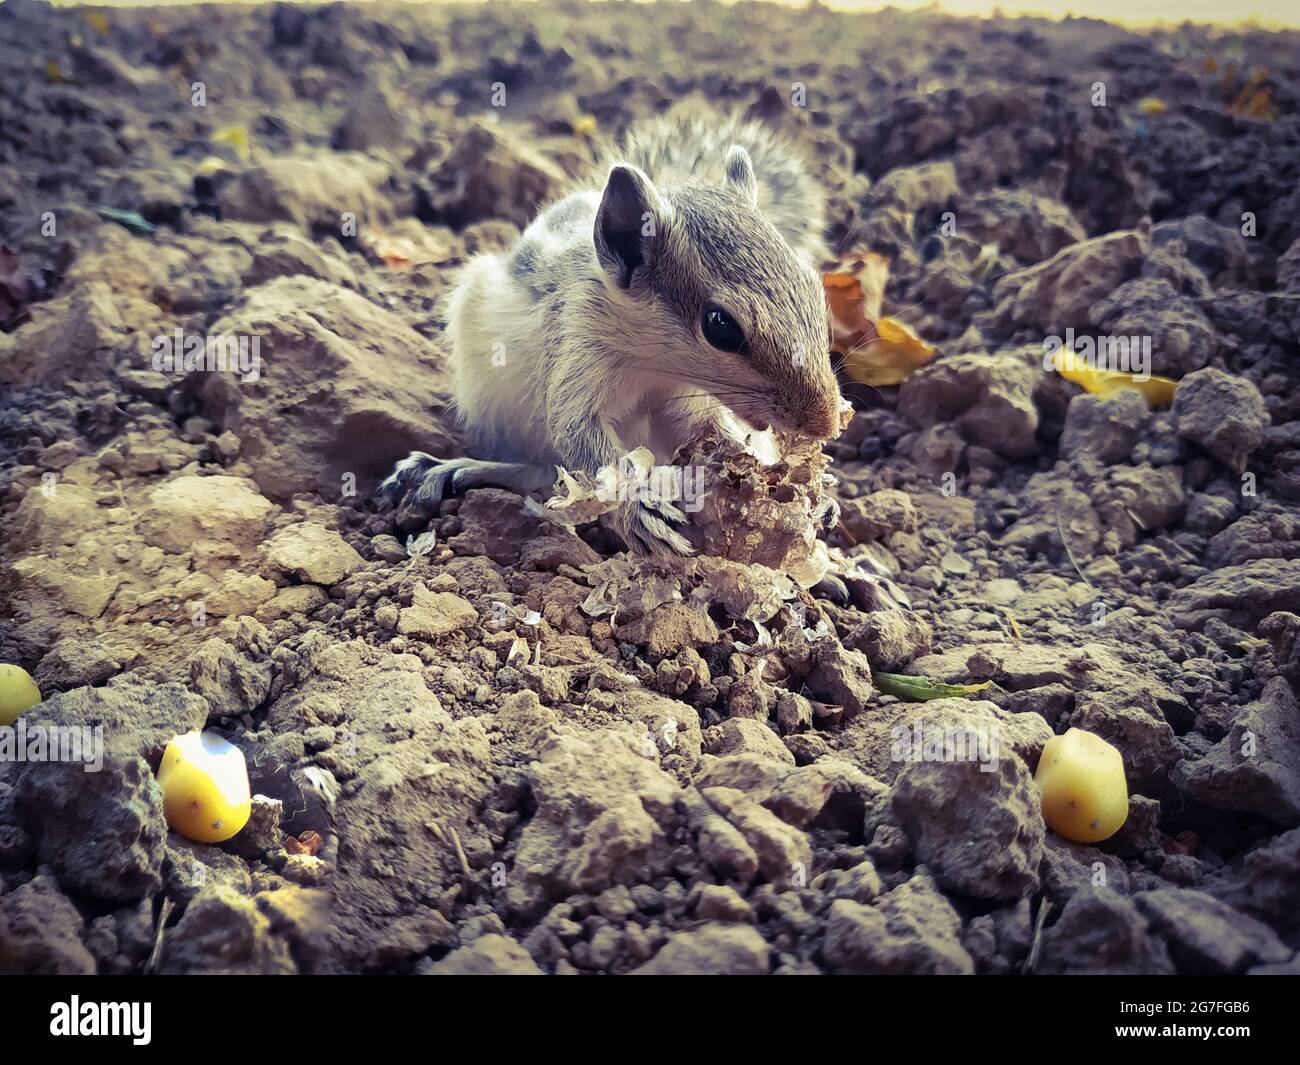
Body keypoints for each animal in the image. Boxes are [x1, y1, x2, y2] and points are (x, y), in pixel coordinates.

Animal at [381, 110, 842, 554]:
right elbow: (581, 441)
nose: (826, 424)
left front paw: (774, 474)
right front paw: (638, 508)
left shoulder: (687, 401)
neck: (654, 364)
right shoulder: (577, 351)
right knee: (537, 469)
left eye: (814, 287)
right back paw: (455, 468)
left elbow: (714, 431)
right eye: (720, 327)